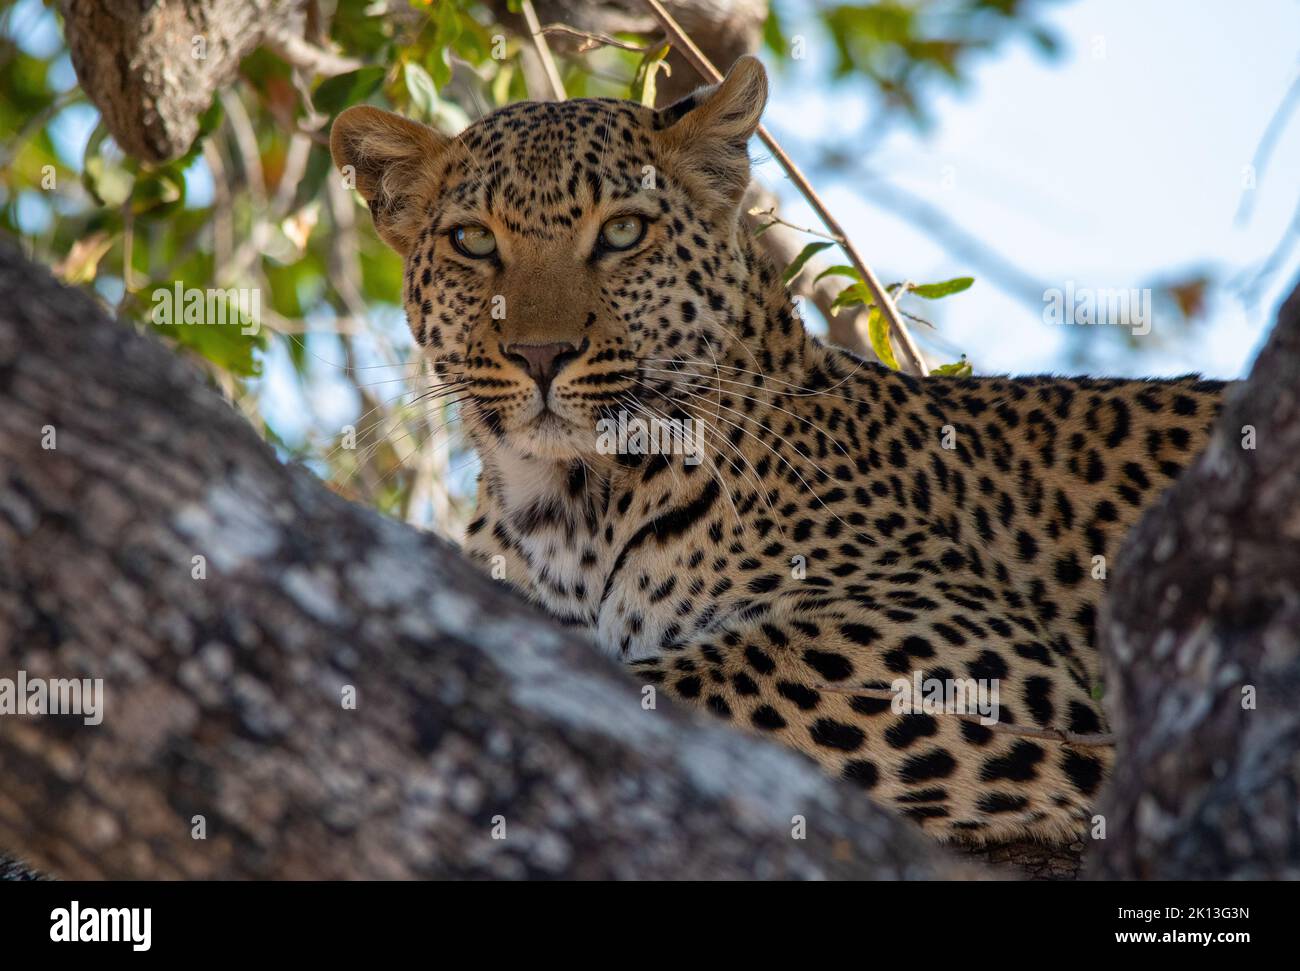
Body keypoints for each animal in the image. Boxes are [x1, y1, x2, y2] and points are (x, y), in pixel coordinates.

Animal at [329, 55, 1225, 845]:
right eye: (474, 242)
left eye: (622, 232)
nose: (541, 355)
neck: (568, 504)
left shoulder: (974, 645)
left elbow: (698, 674)